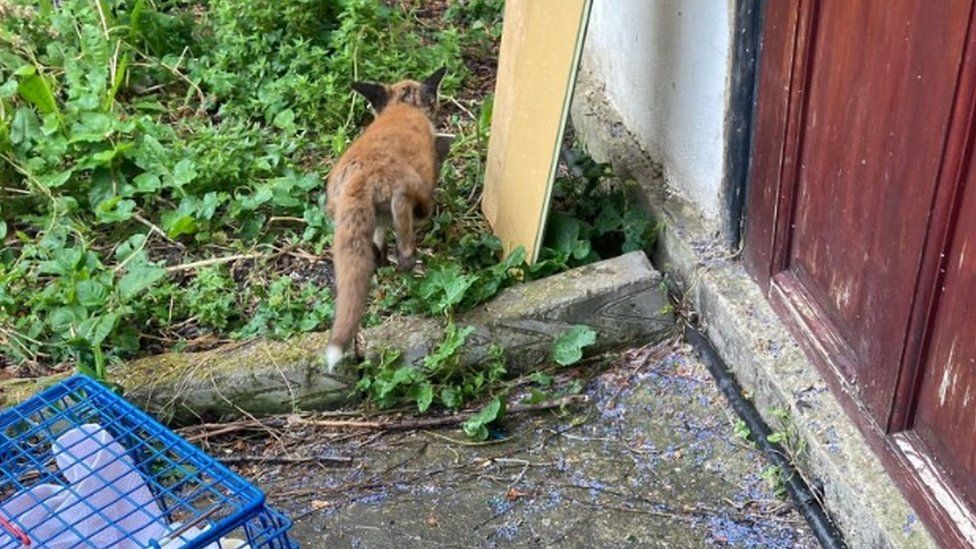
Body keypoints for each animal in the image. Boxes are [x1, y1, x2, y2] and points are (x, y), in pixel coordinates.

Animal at [324, 68, 448, 371]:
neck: (401, 109)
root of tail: (359, 174)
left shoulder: (378, 217)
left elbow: (380, 236)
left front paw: (381, 255)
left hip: (339, 213)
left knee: (372, 249)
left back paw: (381, 262)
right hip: (406, 196)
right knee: (406, 244)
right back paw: (409, 267)